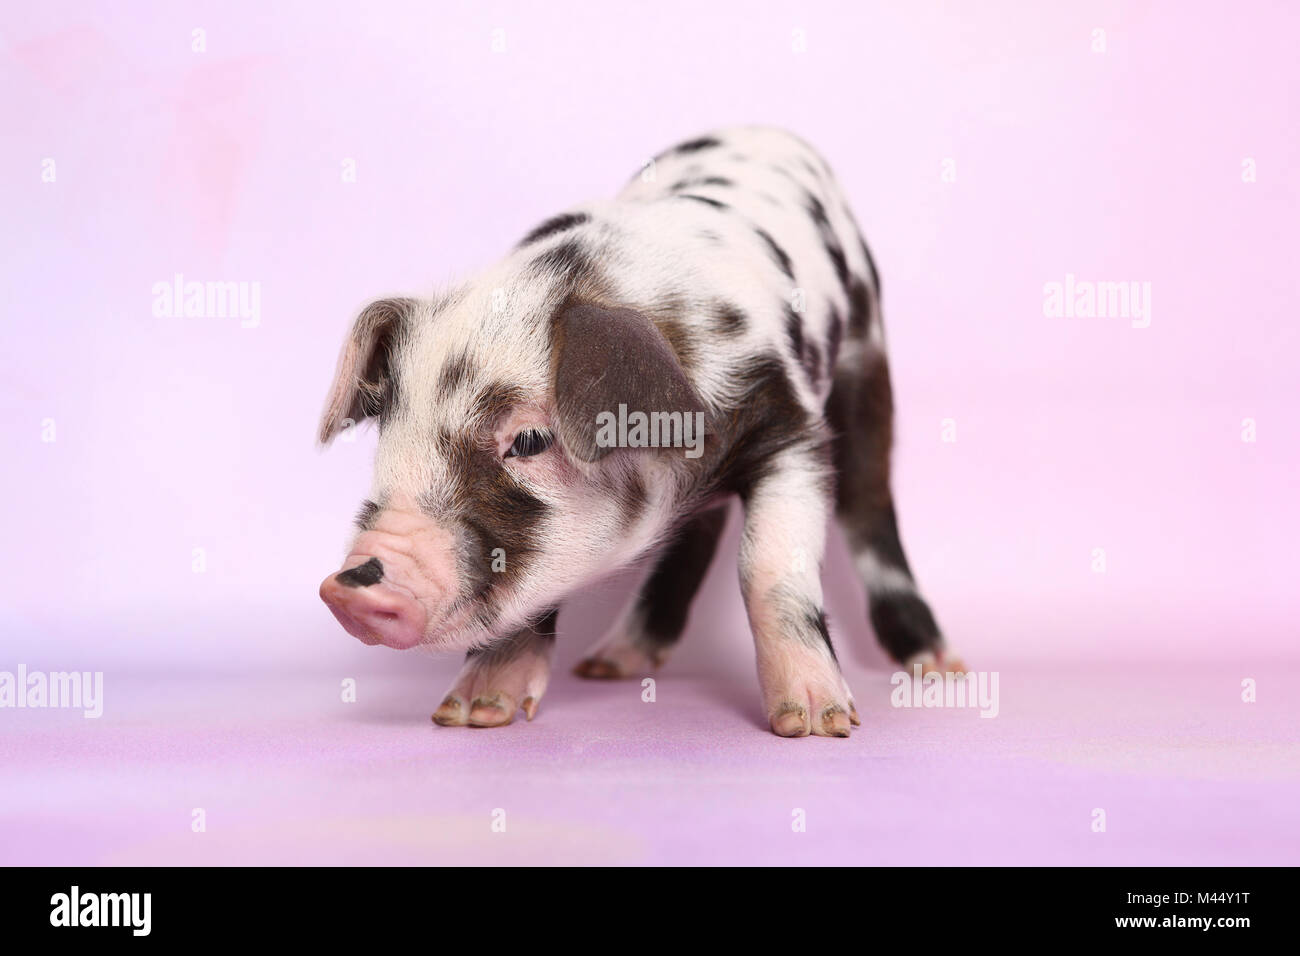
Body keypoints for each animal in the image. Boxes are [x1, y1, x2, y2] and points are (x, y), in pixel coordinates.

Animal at [318, 127, 964, 737]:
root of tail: (765, 129)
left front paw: (816, 723)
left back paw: (939, 665)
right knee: (699, 531)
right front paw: (471, 714)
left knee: (869, 502)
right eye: (389, 430)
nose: (348, 584)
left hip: (866, 354)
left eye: (529, 441)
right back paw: (609, 665)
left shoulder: (791, 430)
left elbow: (769, 568)